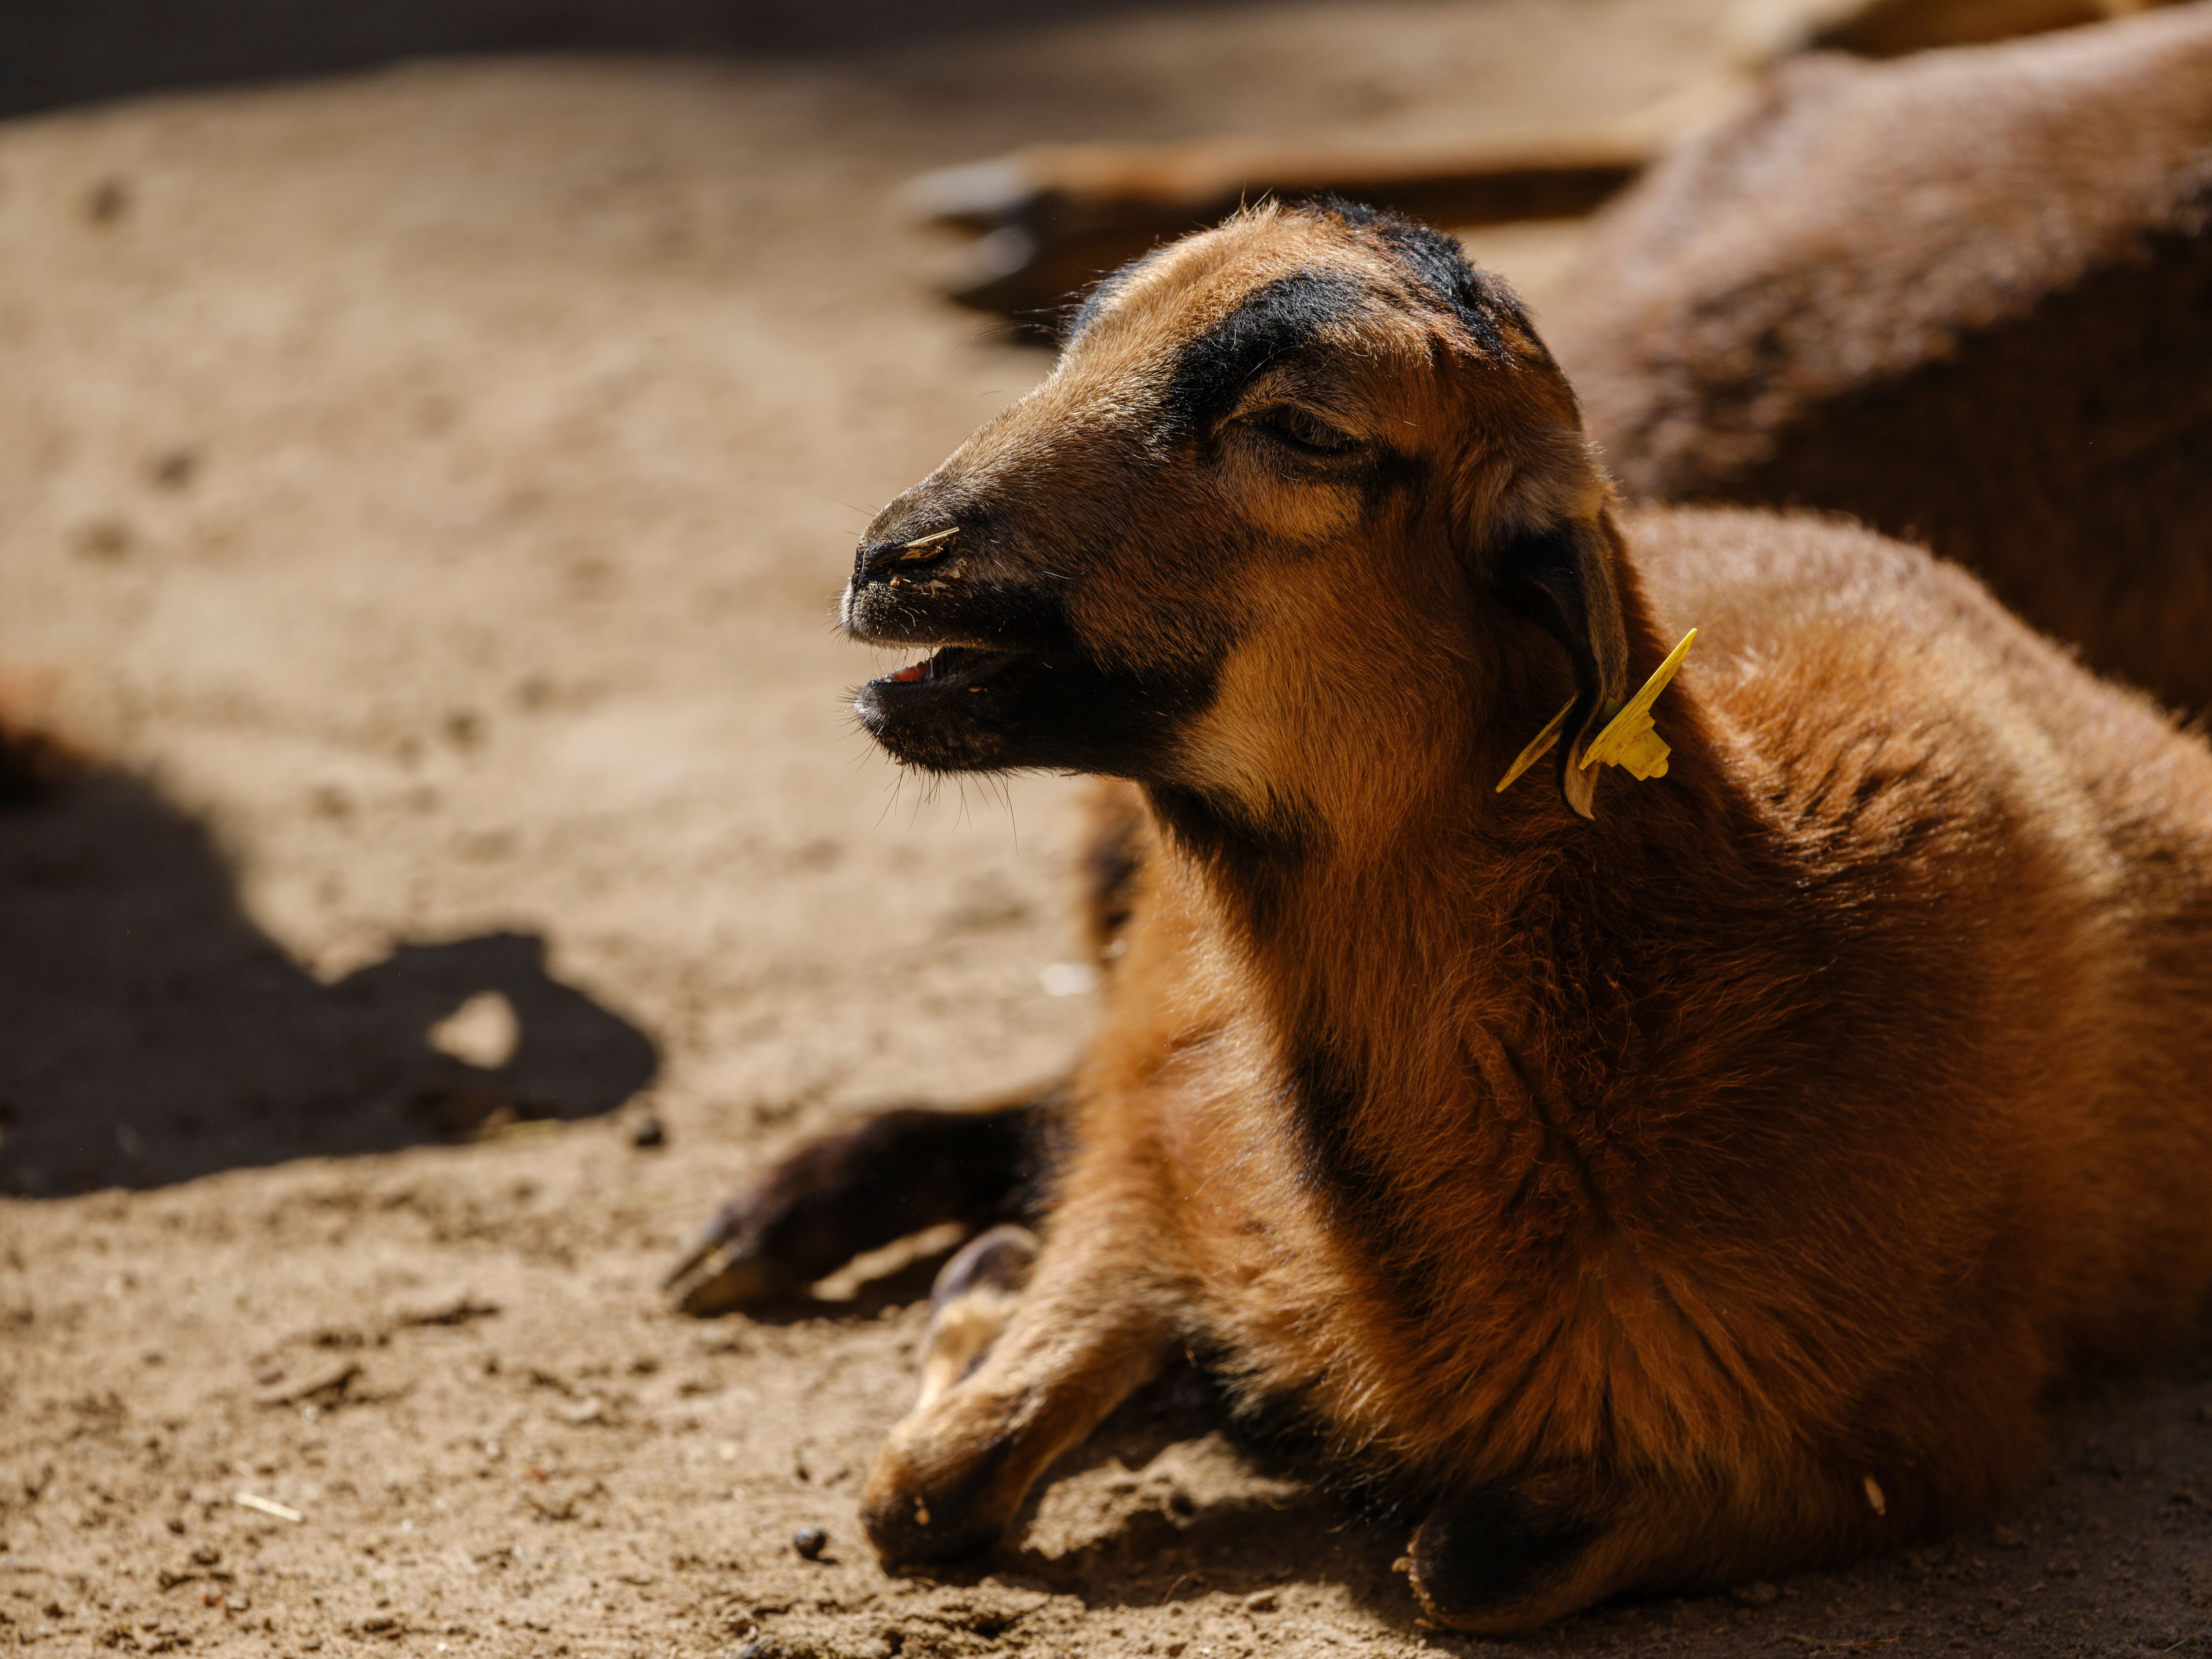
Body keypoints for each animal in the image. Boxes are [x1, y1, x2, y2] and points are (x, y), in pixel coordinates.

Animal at [668, 199, 2212, 1631]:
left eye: (1305, 429)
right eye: (1076, 346)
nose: (891, 560)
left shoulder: (1908, 1436)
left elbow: (1463, 1560)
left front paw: (1012, 1307)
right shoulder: (1165, 1150)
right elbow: (929, 1482)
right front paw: (991, 1310)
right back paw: (774, 1221)